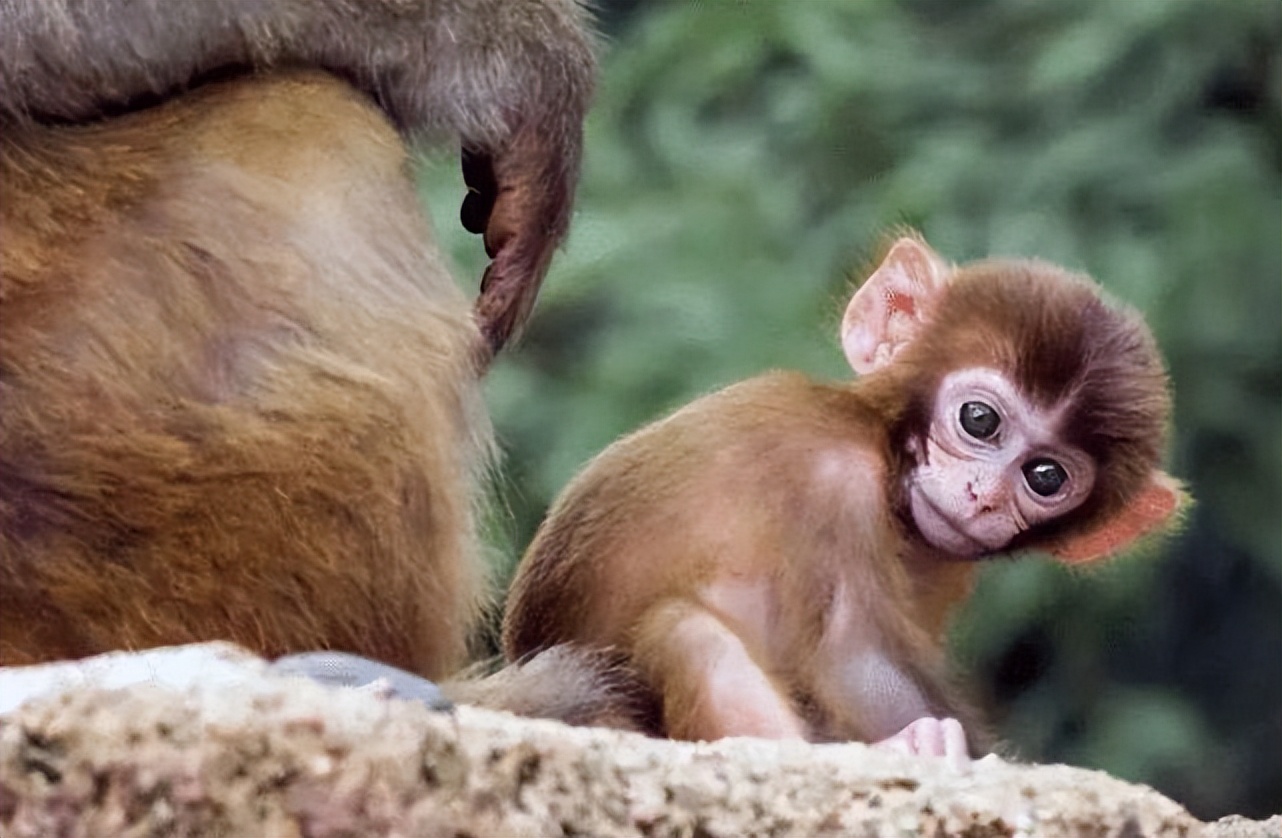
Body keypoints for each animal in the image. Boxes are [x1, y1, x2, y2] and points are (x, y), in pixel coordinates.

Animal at [502, 233, 1184, 761]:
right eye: (980, 420)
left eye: (1045, 476)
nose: (984, 496)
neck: (880, 443)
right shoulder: (836, 480)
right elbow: (854, 659)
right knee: (685, 631)